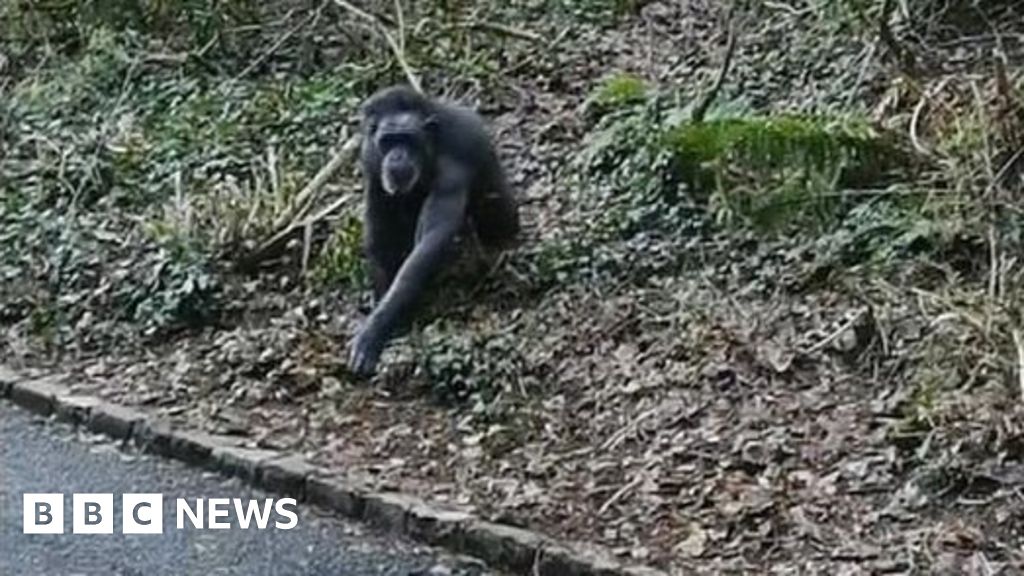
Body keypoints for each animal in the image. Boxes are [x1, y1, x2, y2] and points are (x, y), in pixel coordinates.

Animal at [348, 85, 520, 377]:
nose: (397, 155)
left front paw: (374, 328)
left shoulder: (459, 152)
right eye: (388, 141)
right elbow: (379, 227)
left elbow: (433, 239)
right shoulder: (369, 157)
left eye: (407, 140)